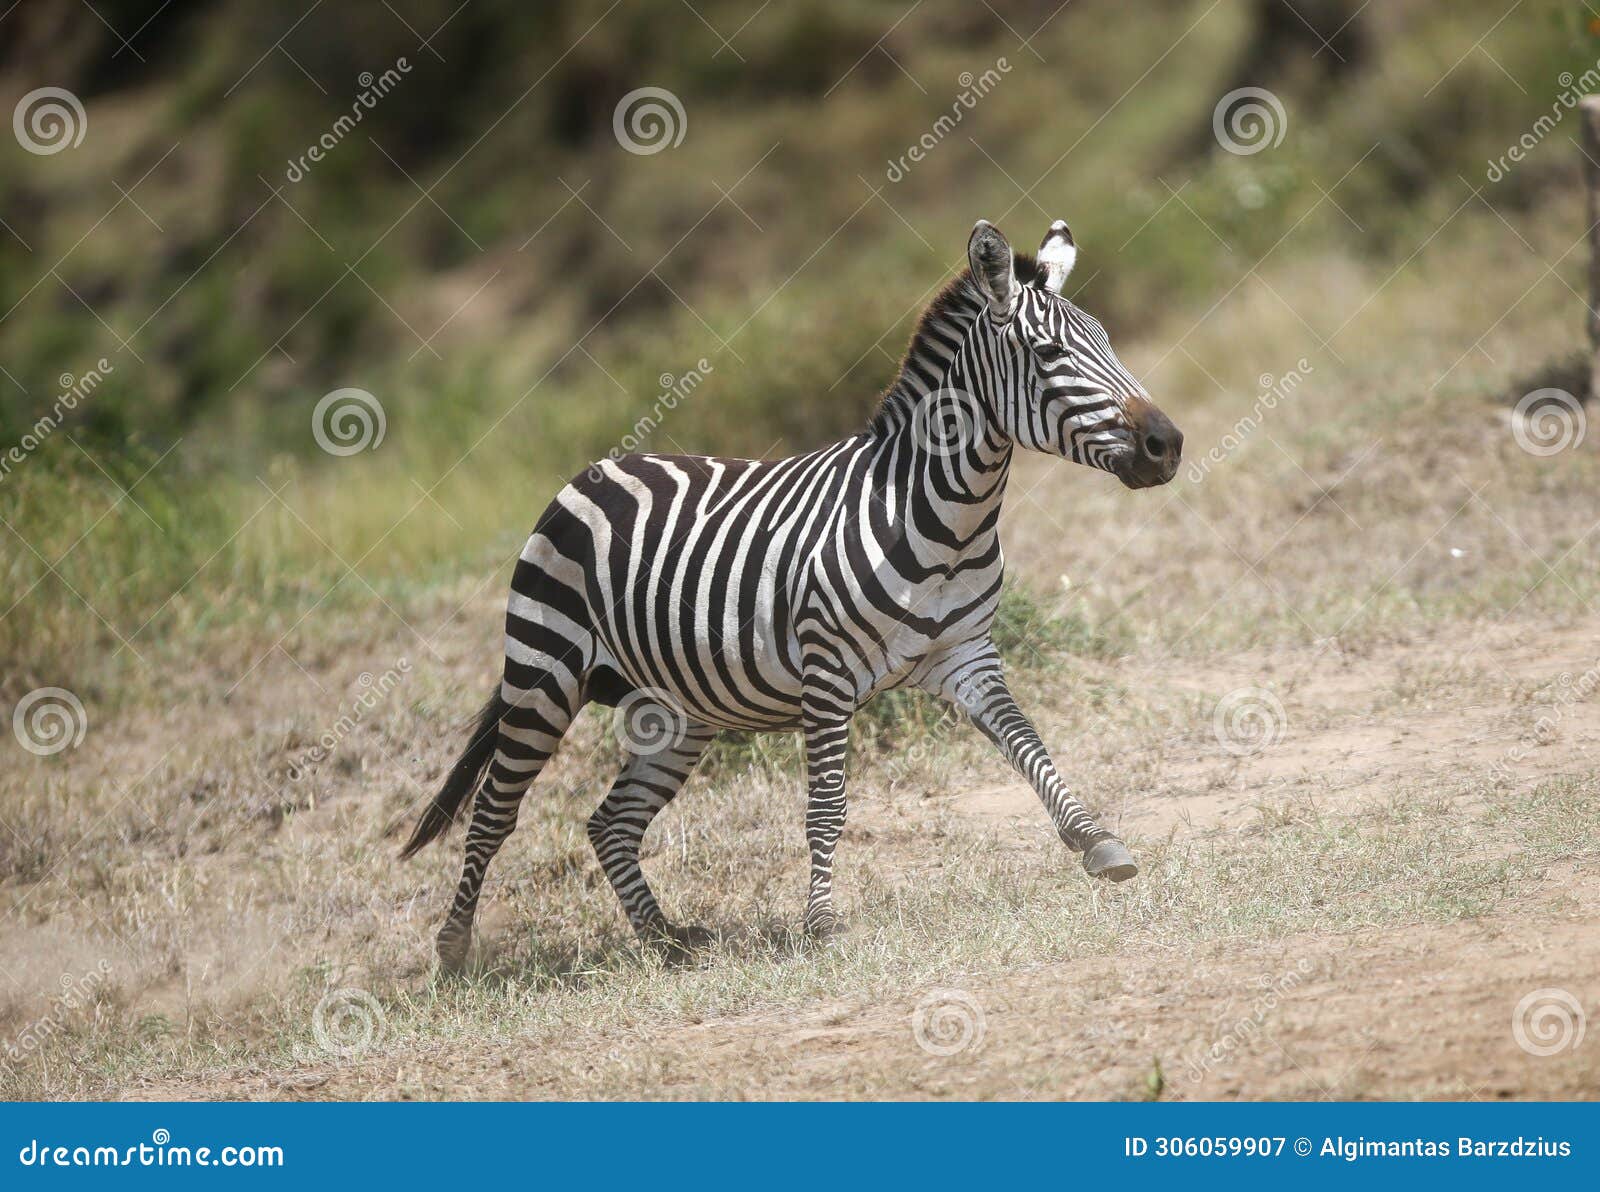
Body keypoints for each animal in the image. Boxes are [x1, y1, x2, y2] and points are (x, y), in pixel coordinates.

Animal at [402, 218, 1182, 972]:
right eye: (1048, 354)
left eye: (1109, 342)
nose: (1167, 445)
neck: (944, 517)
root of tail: (594, 470)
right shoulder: (826, 672)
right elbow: (827, 806)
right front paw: (823, 924)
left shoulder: (969, 656)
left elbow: (1029, 743)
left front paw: (1098, 843)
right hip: (544, 676)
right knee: (495, 813)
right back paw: (454, 954)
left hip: (675, 710)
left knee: (610, 822)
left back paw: (667, 943)